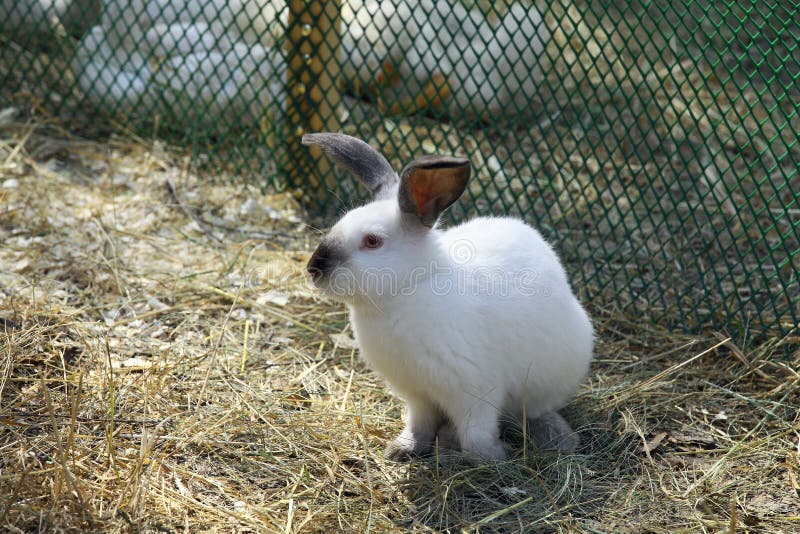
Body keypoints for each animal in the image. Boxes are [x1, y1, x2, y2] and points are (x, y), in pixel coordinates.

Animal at [304, 133, 594, 462]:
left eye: (372, 241)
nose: (314, 268)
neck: (409, 289)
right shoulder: (417, 394)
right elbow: (419, 425)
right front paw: (402, 448)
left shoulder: (475, 392)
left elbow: (476, 436)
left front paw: (485, 458)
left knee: (533, 411)